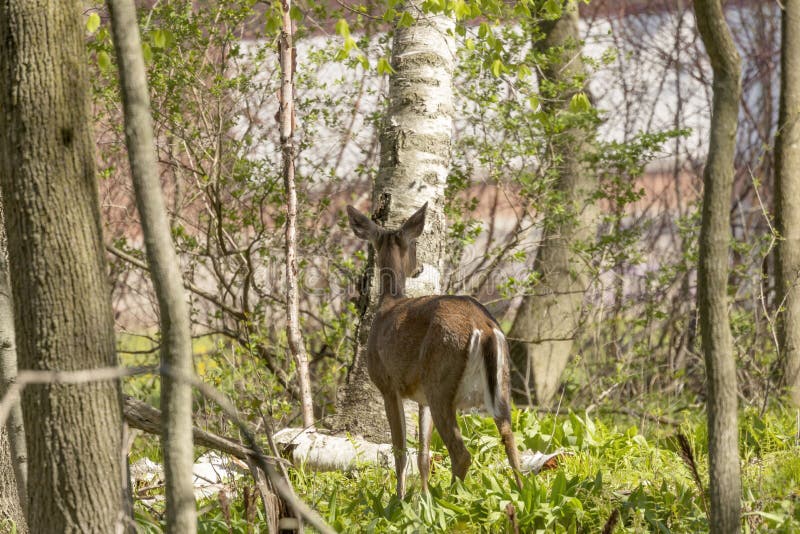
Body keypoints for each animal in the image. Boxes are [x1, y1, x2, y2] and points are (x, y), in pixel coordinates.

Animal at [346, 202, 523, 498]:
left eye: (414, 244)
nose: (418, 268)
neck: (388, 303)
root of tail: (484, 327)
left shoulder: (387, 384)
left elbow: (400, 451)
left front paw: (399, 500)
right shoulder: (421, 398)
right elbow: (423, 455)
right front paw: (423, 498)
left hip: (441, 382)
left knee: (461, 453)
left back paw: (452, 499)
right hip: (497, 385)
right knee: (510, 439)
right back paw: (523, 493)